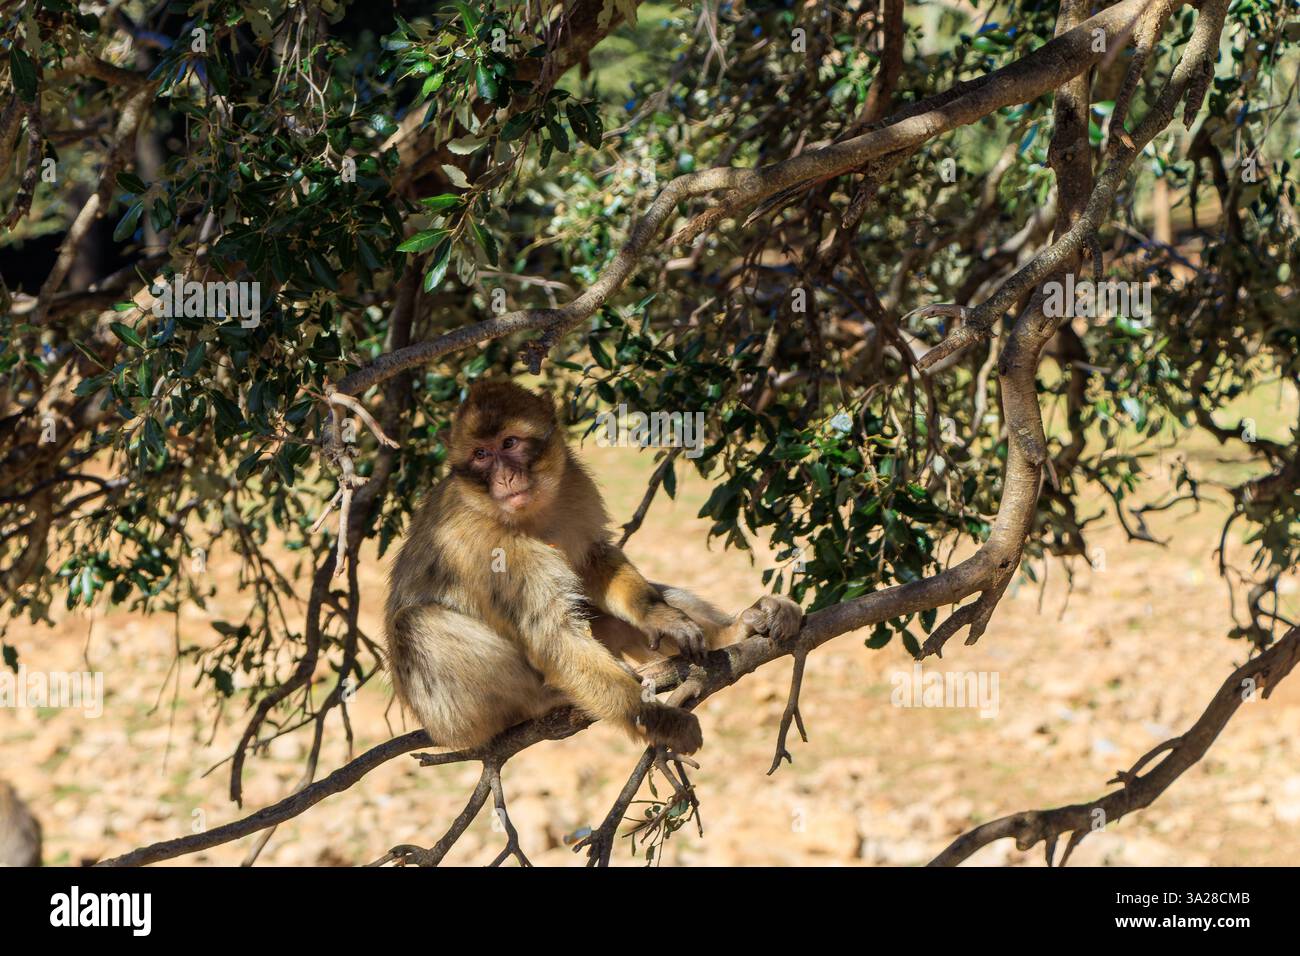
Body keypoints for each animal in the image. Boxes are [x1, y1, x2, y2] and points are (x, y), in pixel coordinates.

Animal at [384, 380, 803, 756]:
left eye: (509, 444)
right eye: (481, 455)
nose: (505, 476)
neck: (524, 516)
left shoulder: (575, 487)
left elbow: (592, 560)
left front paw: (659, 615)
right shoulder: (492, 547)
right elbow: (554, 637)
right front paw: (658, 719)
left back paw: (734, 631)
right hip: (454, 719)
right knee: (415, 624)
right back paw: (543, 700)